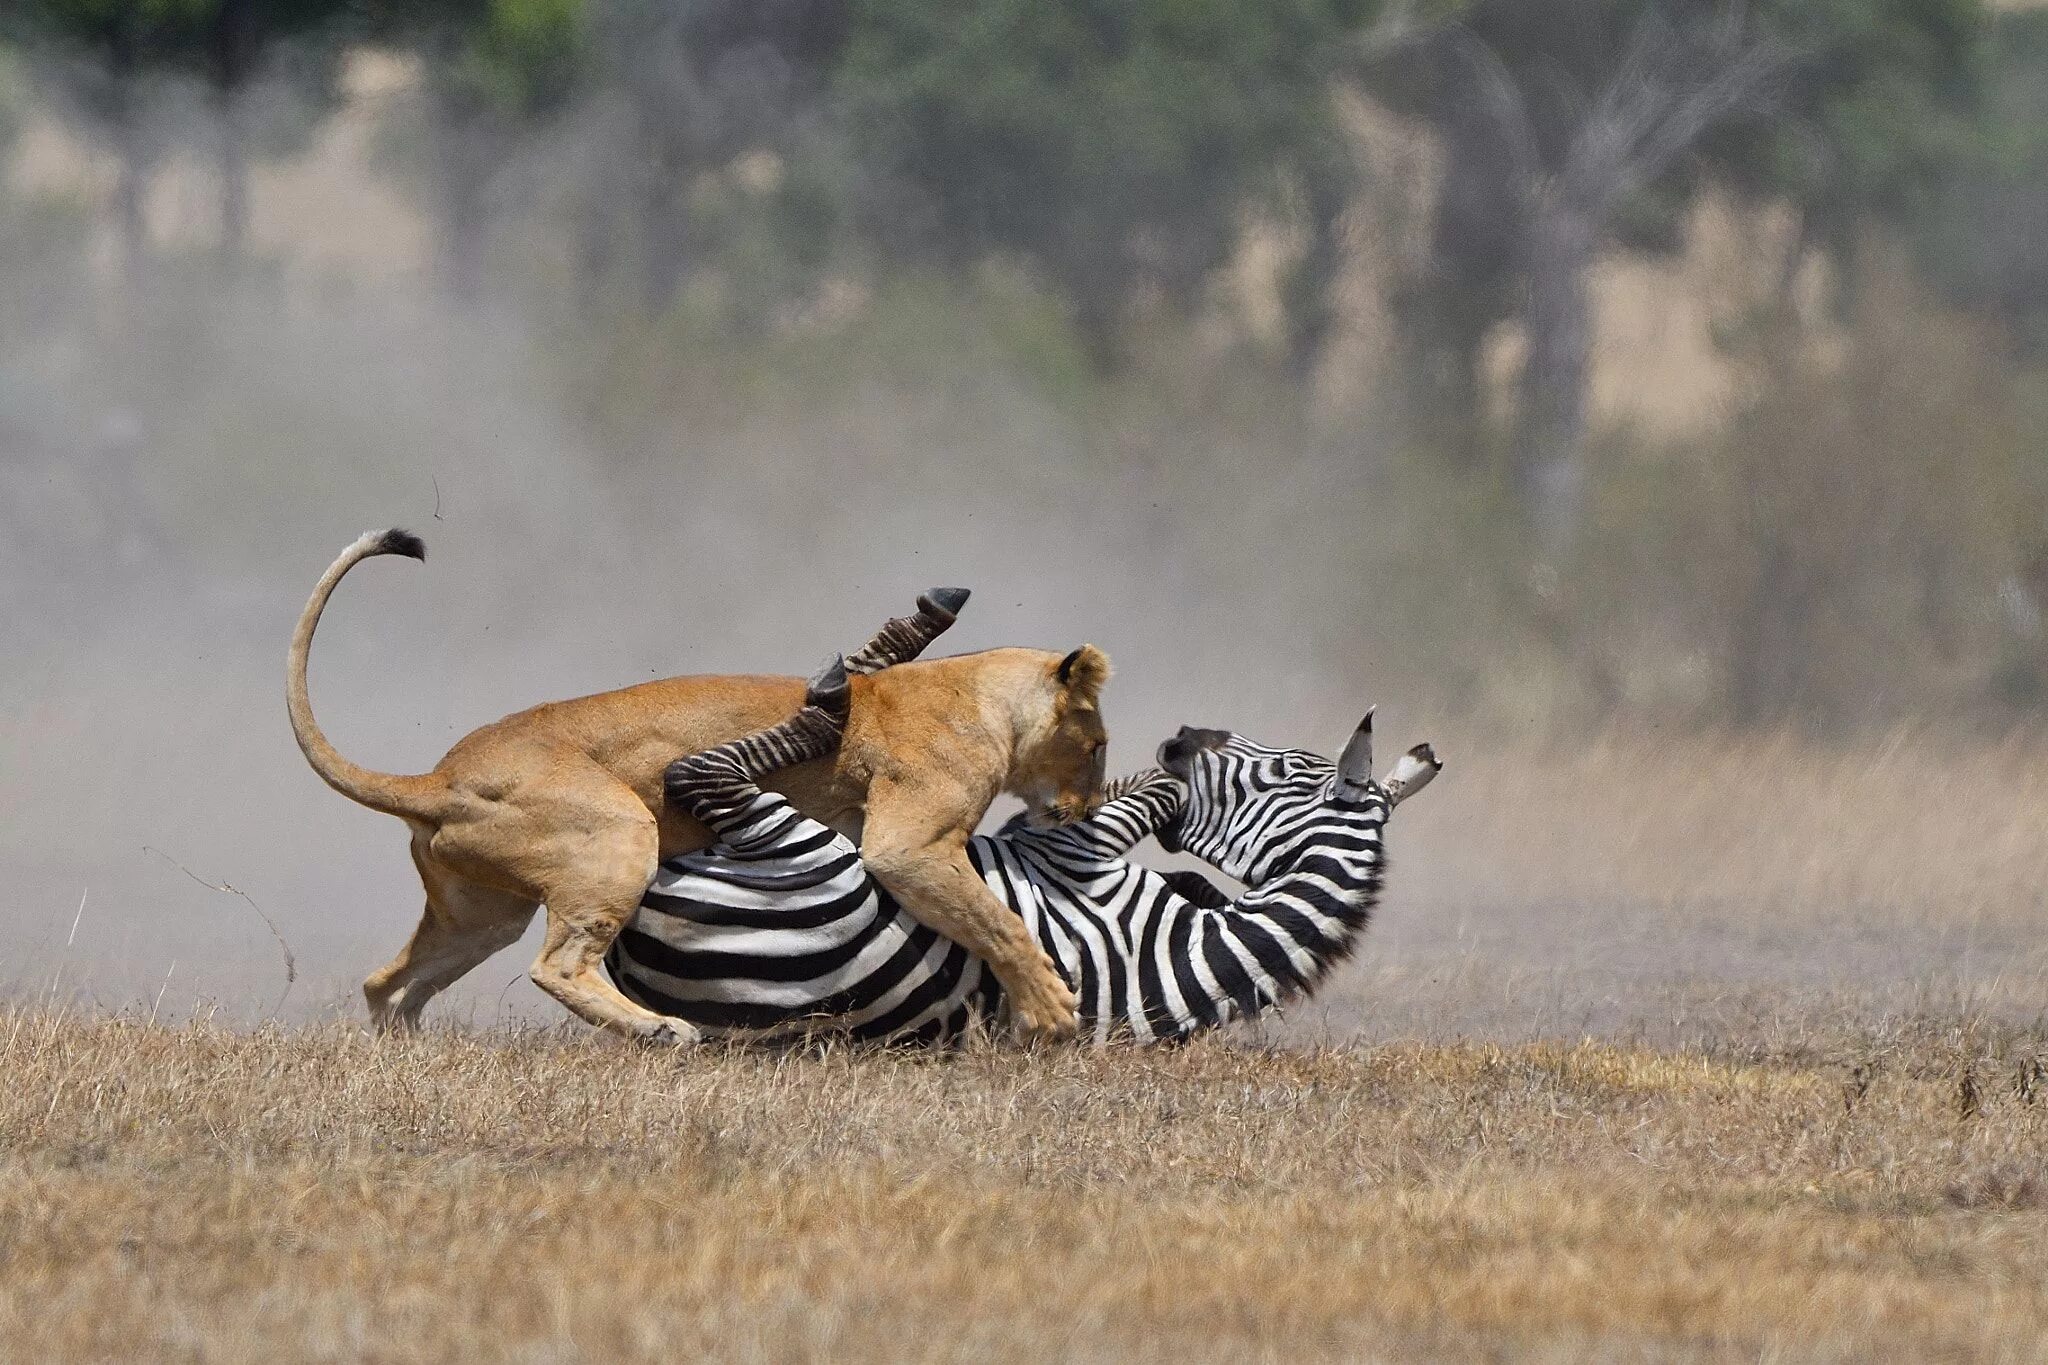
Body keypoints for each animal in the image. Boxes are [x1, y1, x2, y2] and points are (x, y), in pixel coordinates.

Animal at [606, 650, 1441, 1047]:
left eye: (1284, 769)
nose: (1180, 735)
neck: (1191, 956)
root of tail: (646, 956)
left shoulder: (1067, 856)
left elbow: (1145, 802)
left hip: (814, 856)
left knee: (704, 773)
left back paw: (835, 695)